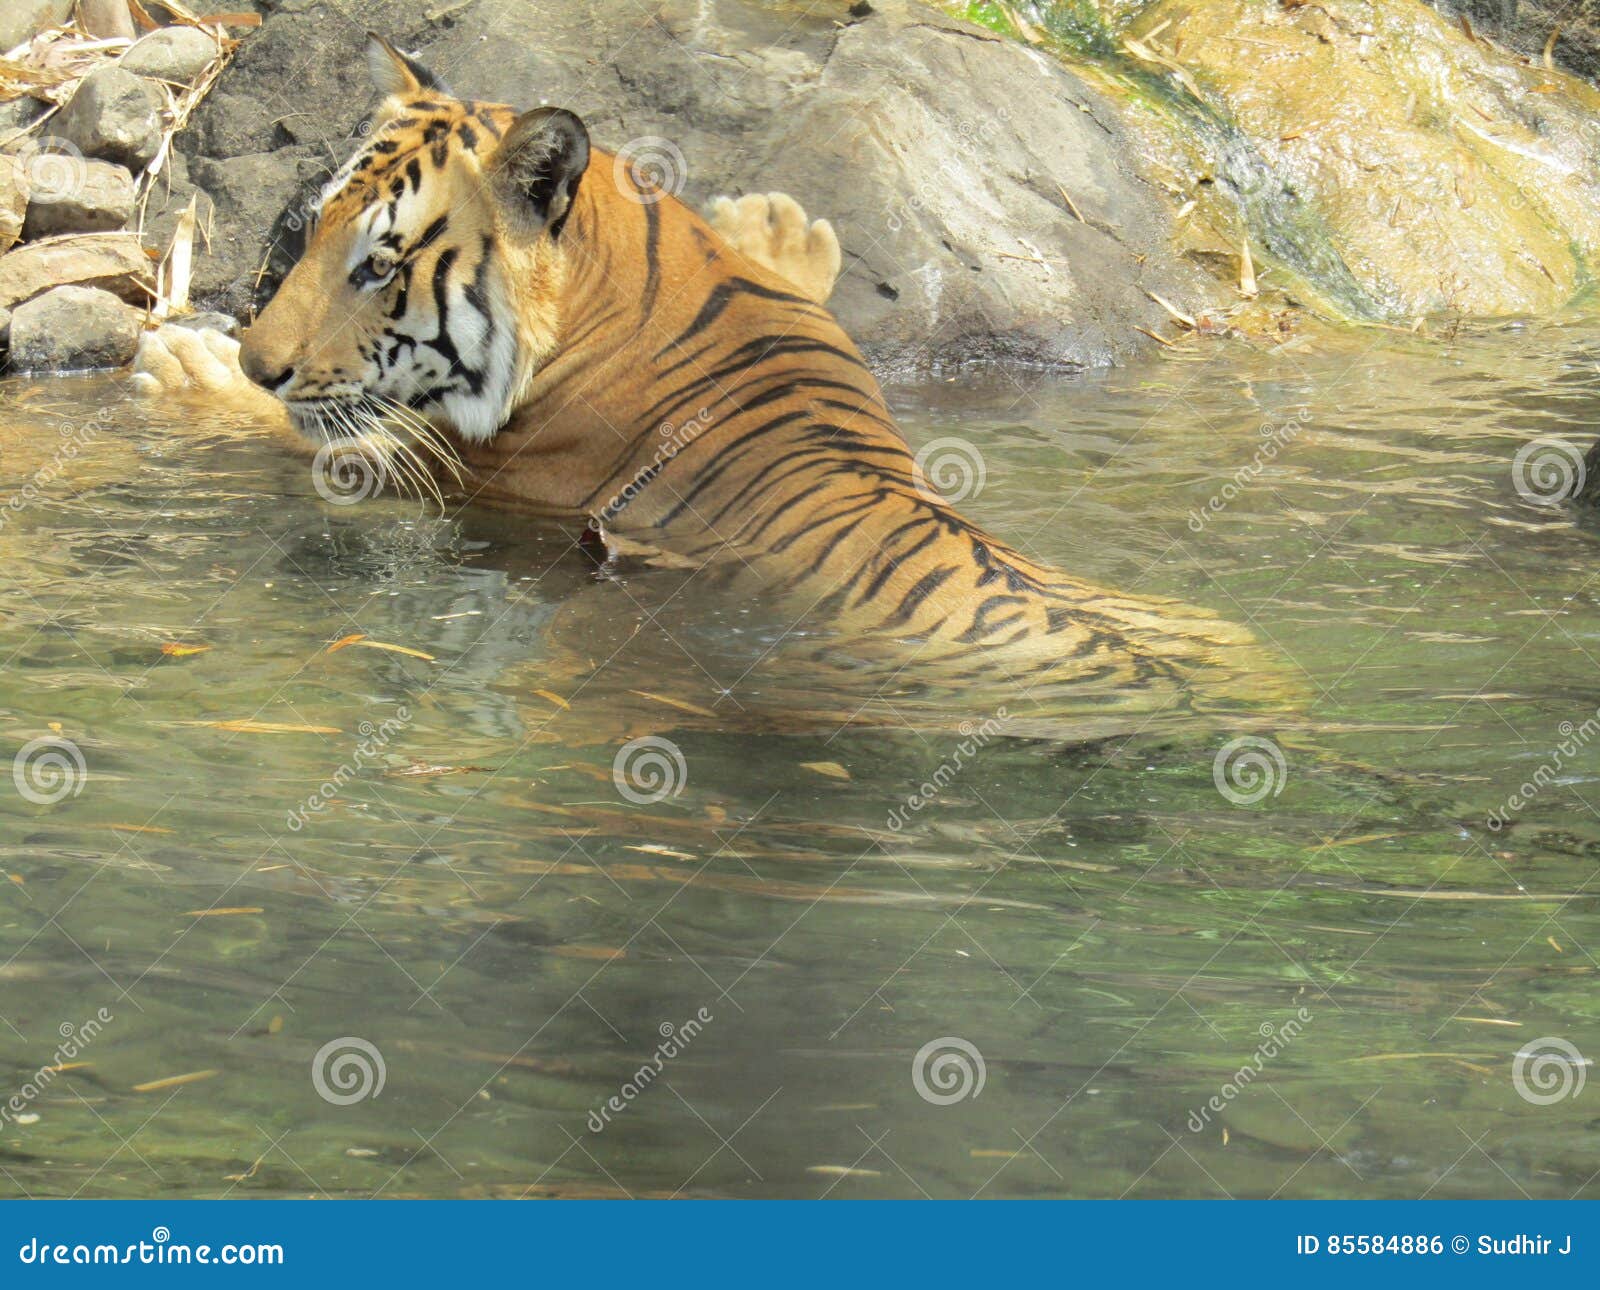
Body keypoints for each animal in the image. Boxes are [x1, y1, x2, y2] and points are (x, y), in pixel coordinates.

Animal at [134, 36, 1273, 732]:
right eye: (315, 229)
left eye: (376, 267)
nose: (258, 356)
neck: (636, 285)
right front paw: (780, 224)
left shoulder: (471, 473)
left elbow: (312, 434)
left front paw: (188, 373)